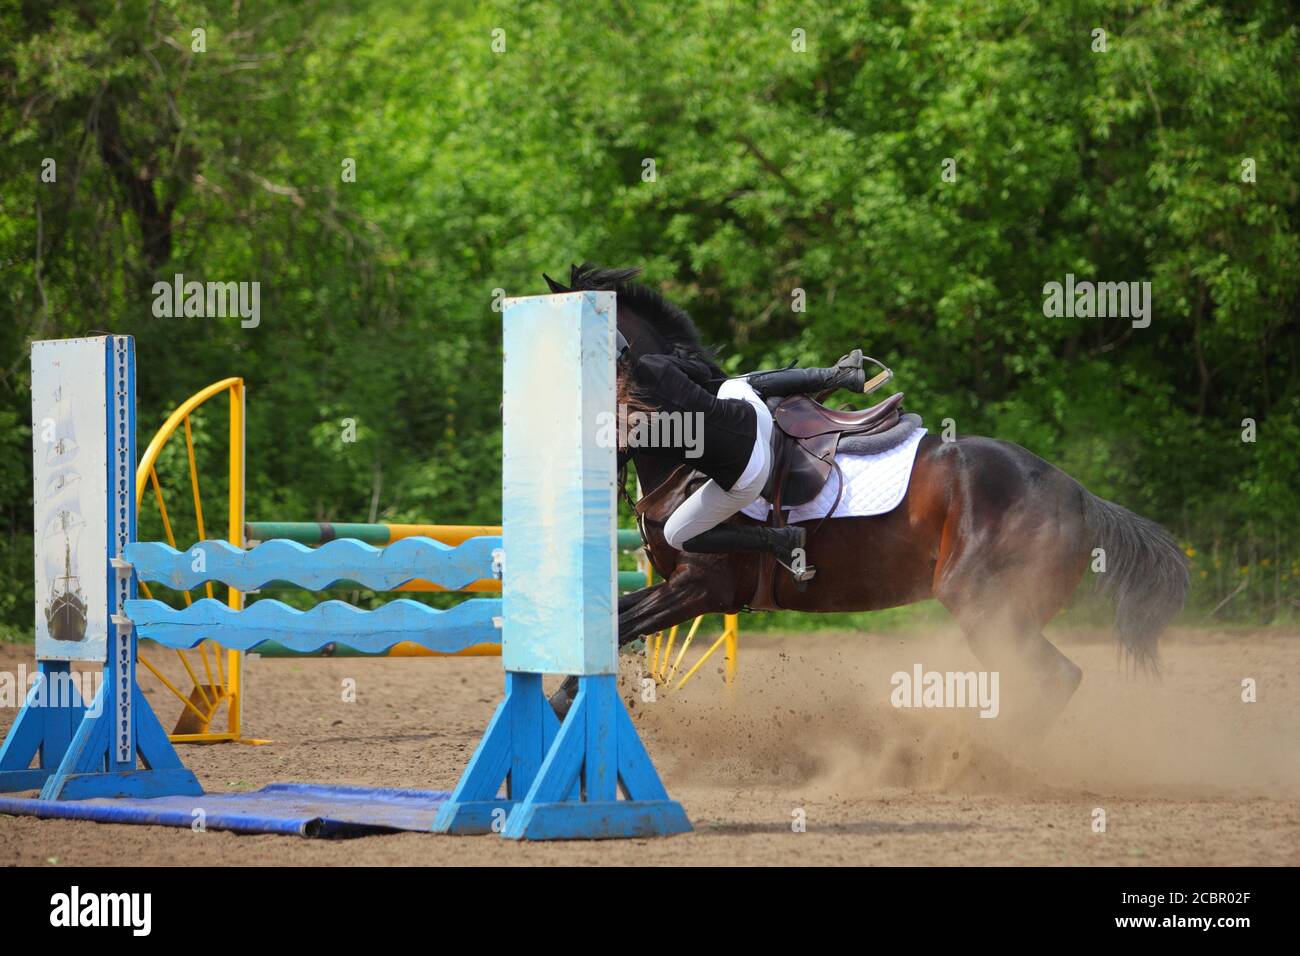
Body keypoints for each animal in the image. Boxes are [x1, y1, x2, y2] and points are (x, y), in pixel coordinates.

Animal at [543, 264, 1189, 725]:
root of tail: (1077, 494)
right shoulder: (678, 586)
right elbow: (612, 624)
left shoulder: (699, 588)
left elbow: (620, 626)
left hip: (985, 605)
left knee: (1054, 678)